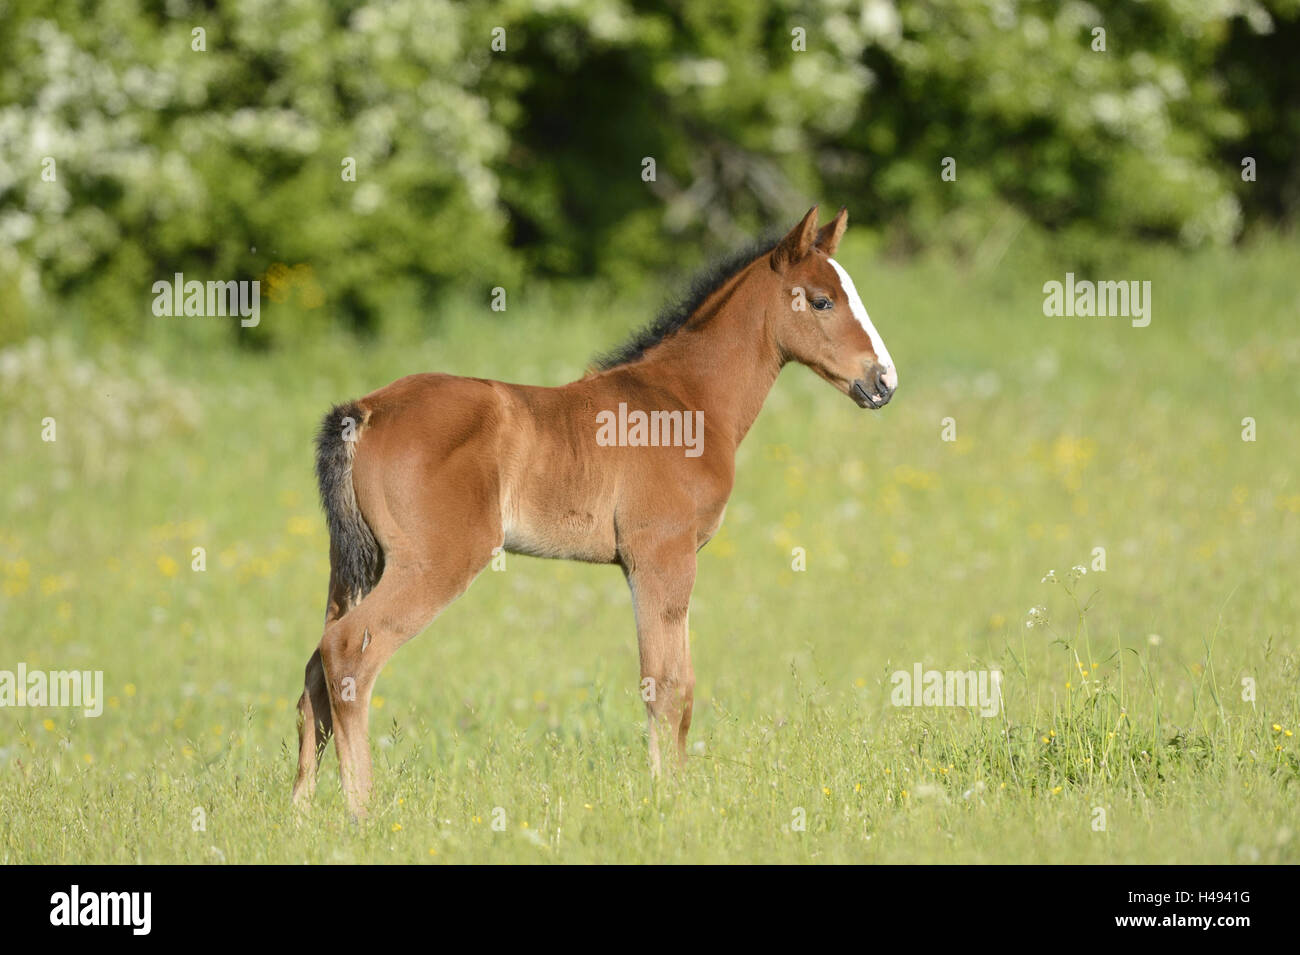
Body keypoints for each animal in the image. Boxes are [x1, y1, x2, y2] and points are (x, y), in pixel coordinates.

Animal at [292, 205, 898, 817]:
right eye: (821, 301)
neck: (684, 401)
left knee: (315, 670)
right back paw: (360, 812)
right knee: (347, 654)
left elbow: (675, 684)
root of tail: (364, 411)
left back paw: (300, 812)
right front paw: (671, 800)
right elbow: (668, 684)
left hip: (354, 564)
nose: (883, 381)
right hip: (435, 562)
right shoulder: (661, 554)